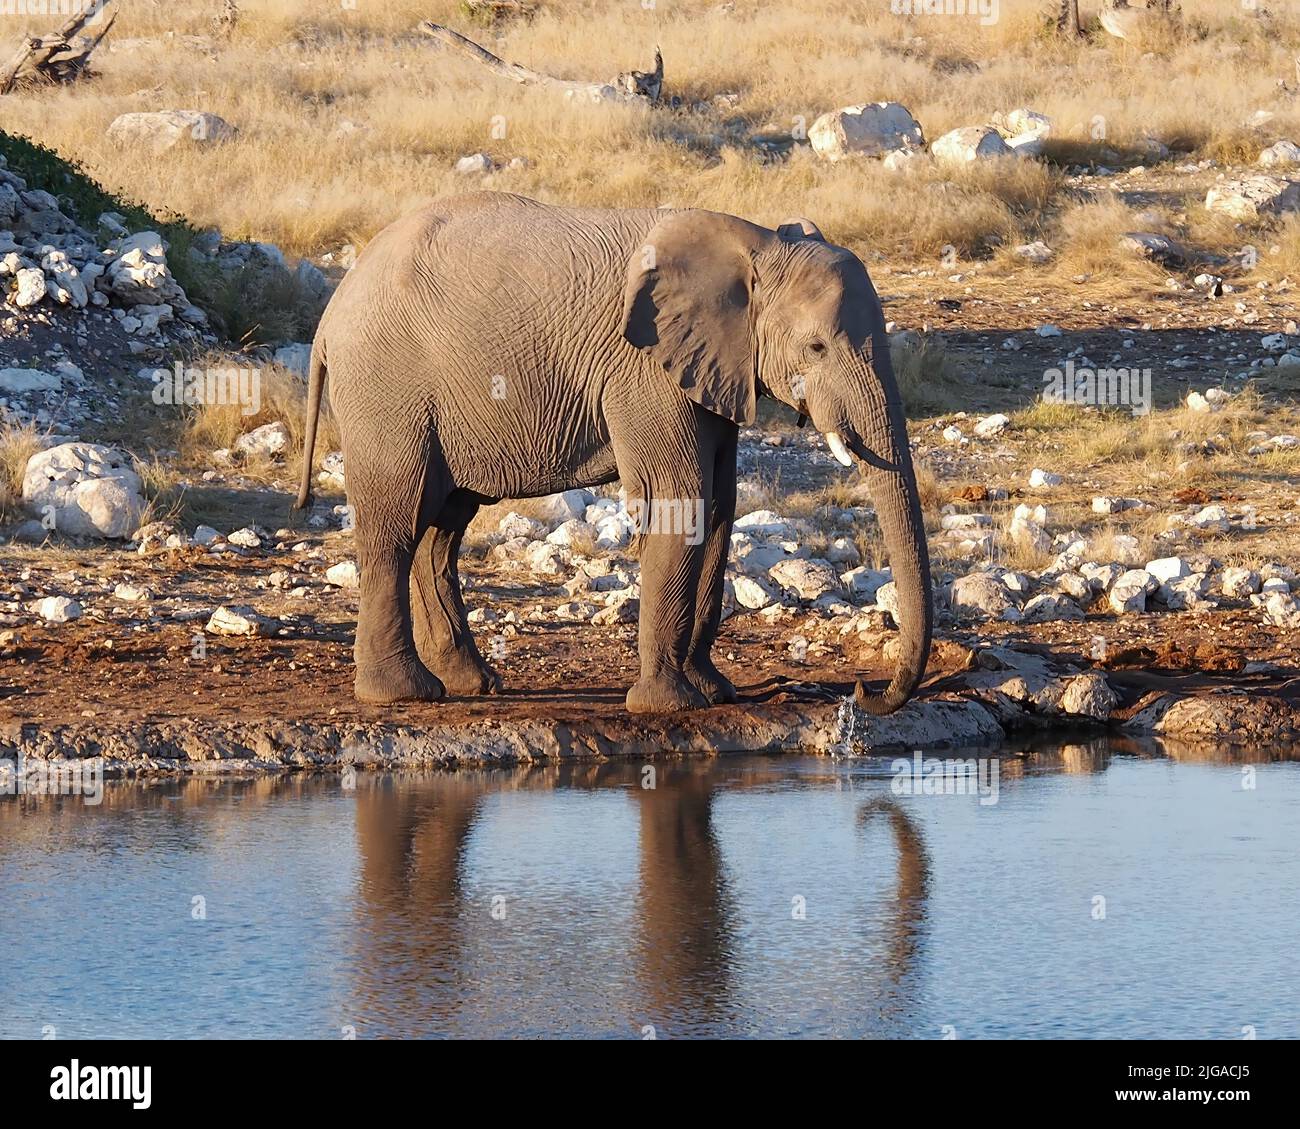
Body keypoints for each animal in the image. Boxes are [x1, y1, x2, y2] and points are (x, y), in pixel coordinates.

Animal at [295, 192, 932, 715]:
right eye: (817, 347)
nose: (865, 692)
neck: (756, 247)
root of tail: (331, 315)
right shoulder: (644, 370)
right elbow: (677, 499)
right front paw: (668, 705)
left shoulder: (714, 367)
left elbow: (718, 507)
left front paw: (714, 692)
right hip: (387, 388)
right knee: (397, 523)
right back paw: (403, 692)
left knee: (442, 528)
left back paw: (474, 684)